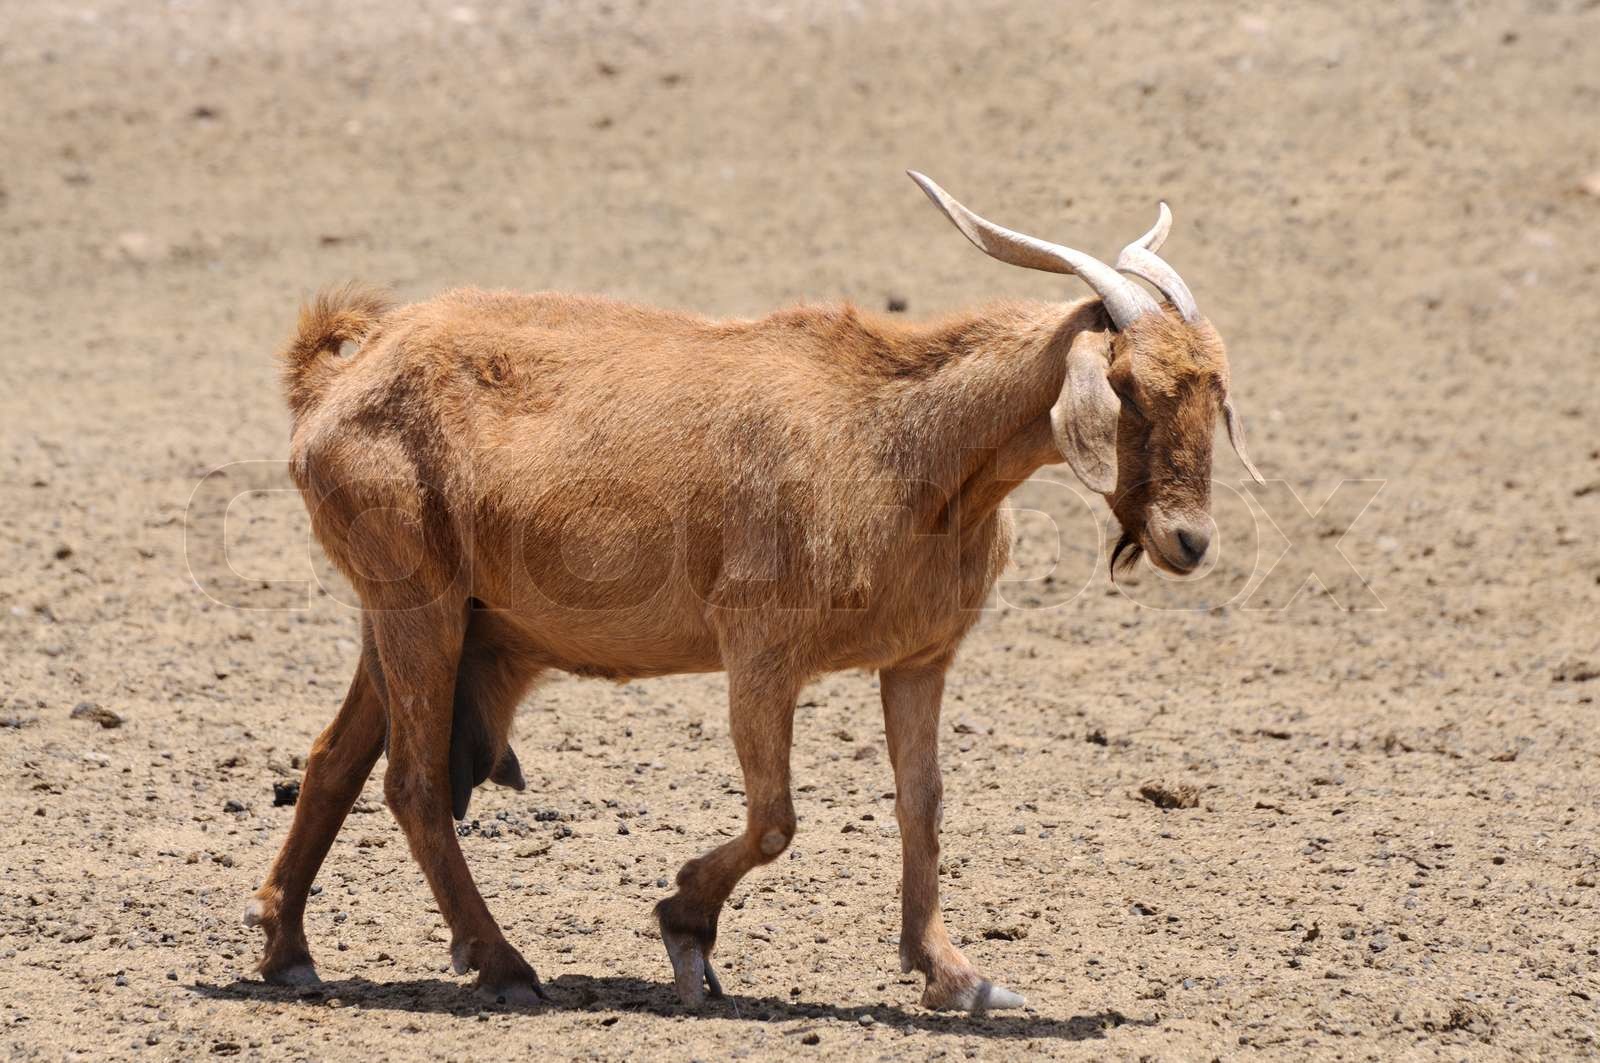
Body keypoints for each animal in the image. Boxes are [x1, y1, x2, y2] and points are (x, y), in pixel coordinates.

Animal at [245, 173, 1263, 1013]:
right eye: (1127, 385)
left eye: (1215, 386)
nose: (1188, 539)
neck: (910, 449)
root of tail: (335, 379)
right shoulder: (760, 651)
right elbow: (776, 819)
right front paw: (685, 929)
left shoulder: (917, 659)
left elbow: (922, 804)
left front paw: (958, 976)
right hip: (414, 600)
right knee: (413, 783)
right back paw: (505, 966)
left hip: (422, 615)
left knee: (334, 760)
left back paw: (289, 953)